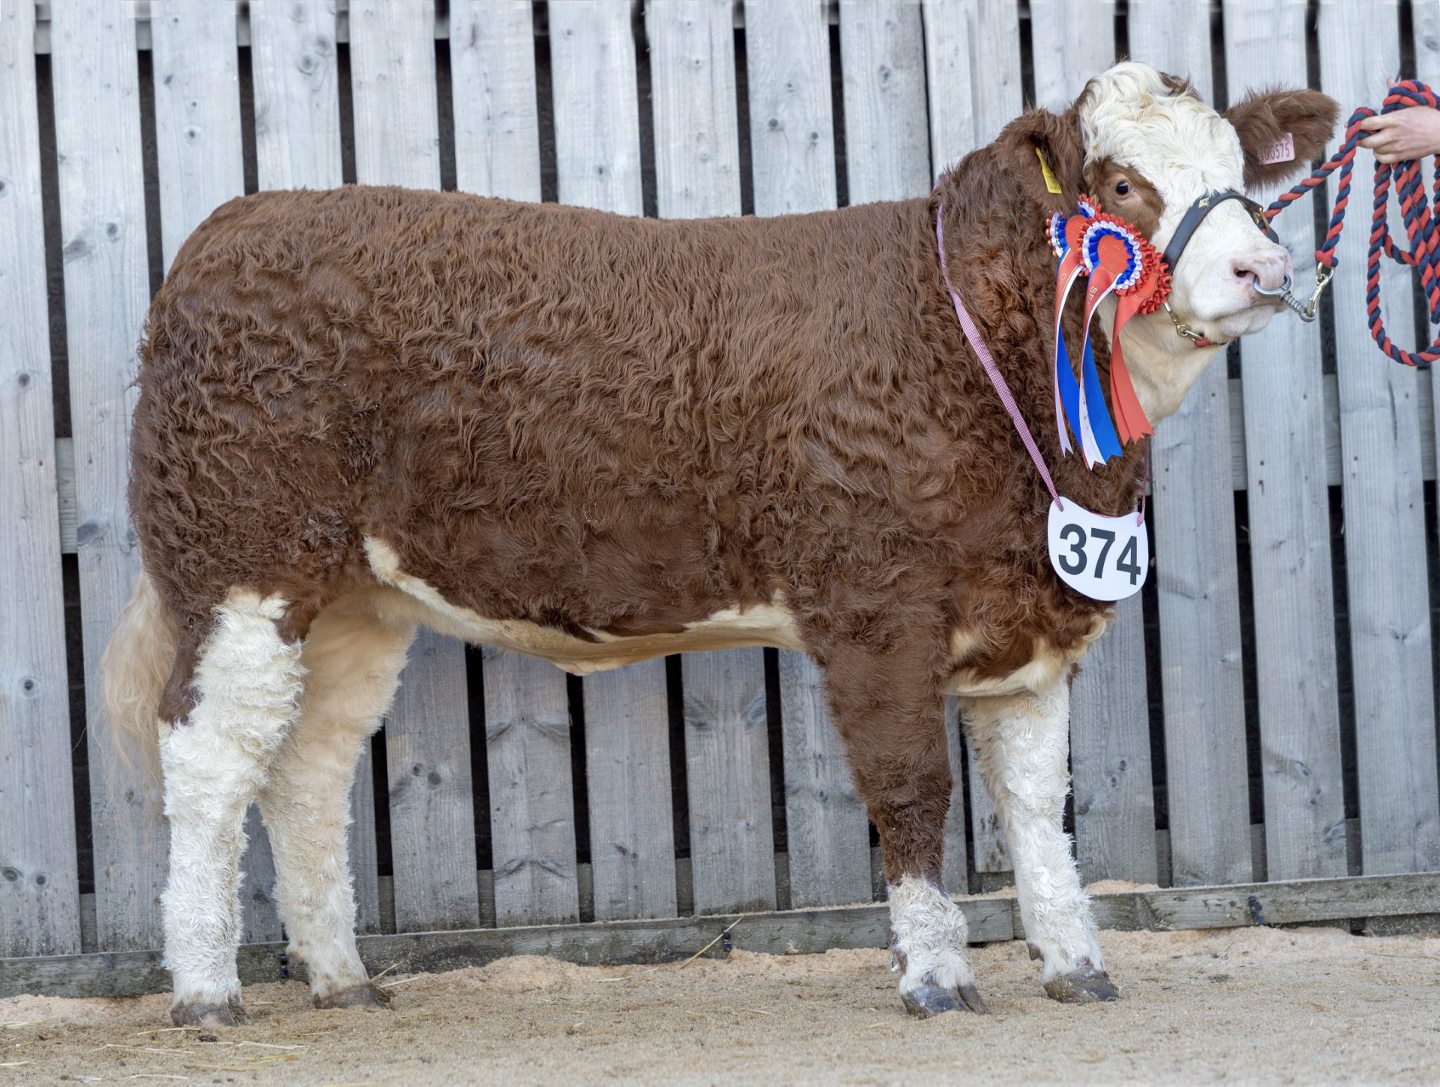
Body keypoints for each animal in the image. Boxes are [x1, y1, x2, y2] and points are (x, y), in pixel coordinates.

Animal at [102, 62, 1337, 1025]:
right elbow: (913, 787)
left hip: (356, 598)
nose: (1266, 272)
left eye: (1241, 166)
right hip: (240, 564)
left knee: (305, 768)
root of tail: (229, 231)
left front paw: (1076, 964)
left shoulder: (1024, 613)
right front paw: (937, 975)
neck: (963, 339)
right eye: (1120, 184)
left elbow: (1037, 803)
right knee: (209, 759)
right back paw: (205, 989)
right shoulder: (873, 604)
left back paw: (342, 977)